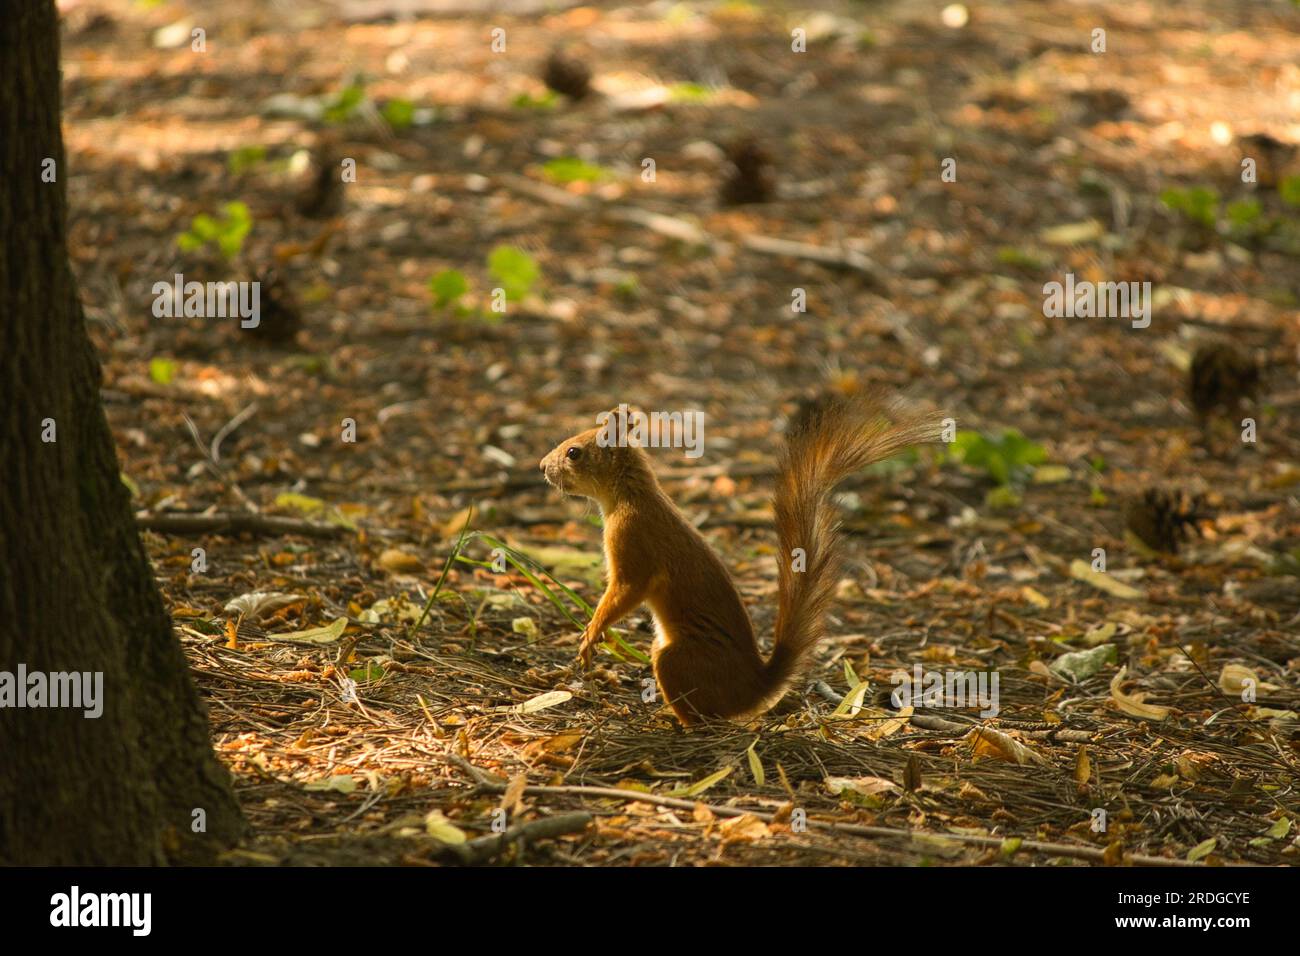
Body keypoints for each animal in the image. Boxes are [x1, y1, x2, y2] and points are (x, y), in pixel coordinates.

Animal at [539, 393, 936, 725]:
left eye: (574, 452)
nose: (543, 466)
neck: (629, 495)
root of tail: (753, 687)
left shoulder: (633, 542)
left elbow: (625, 590)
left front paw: (591, 635)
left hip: (677, 659)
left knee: (706, 718)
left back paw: (678, 723)